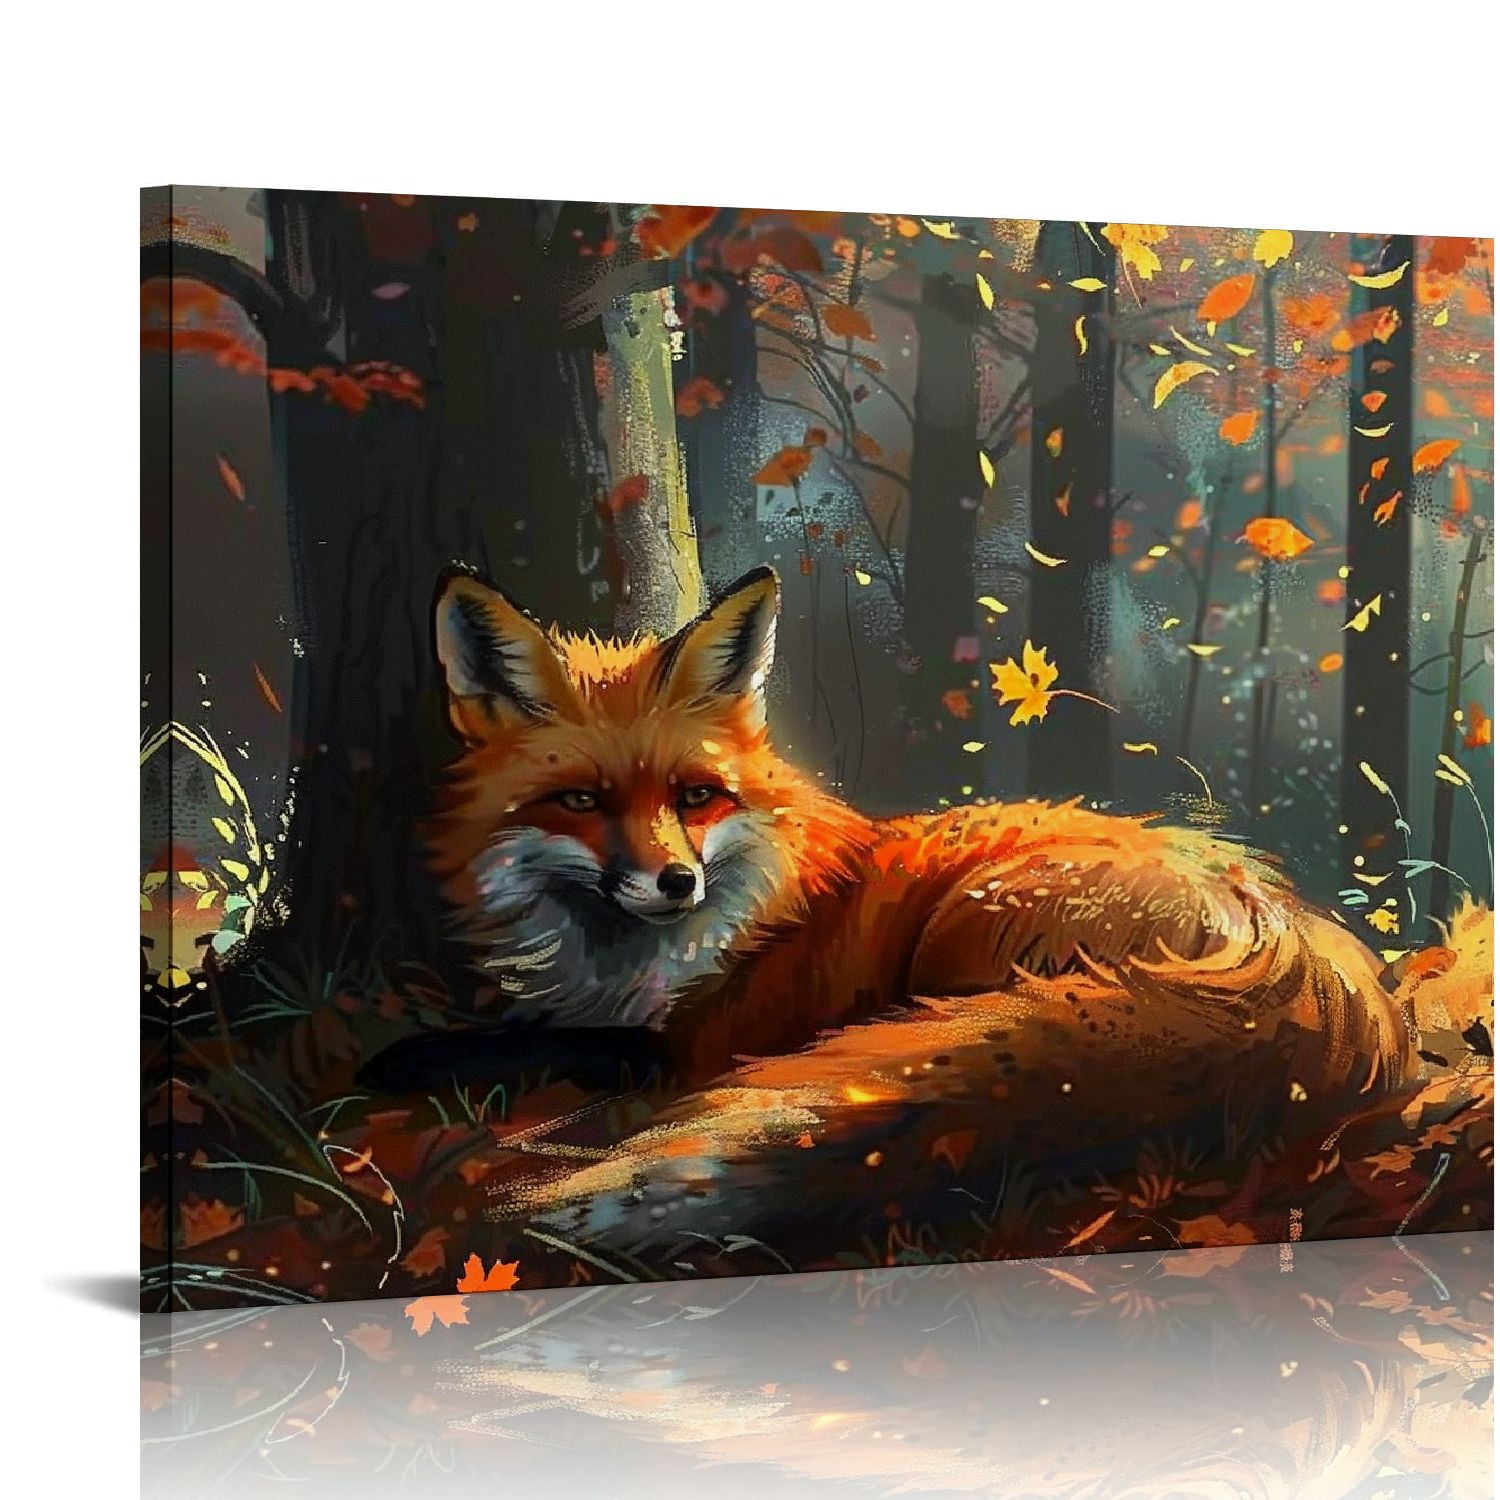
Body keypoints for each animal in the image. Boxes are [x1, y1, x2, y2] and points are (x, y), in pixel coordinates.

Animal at [357, 562, 1456, 1157]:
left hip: (969, 920)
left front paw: (412, 1057)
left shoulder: (694, 1041)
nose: (676, 882)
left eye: (697, 796)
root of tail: (1286, 927)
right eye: (582, 801)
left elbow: (545, 1041)